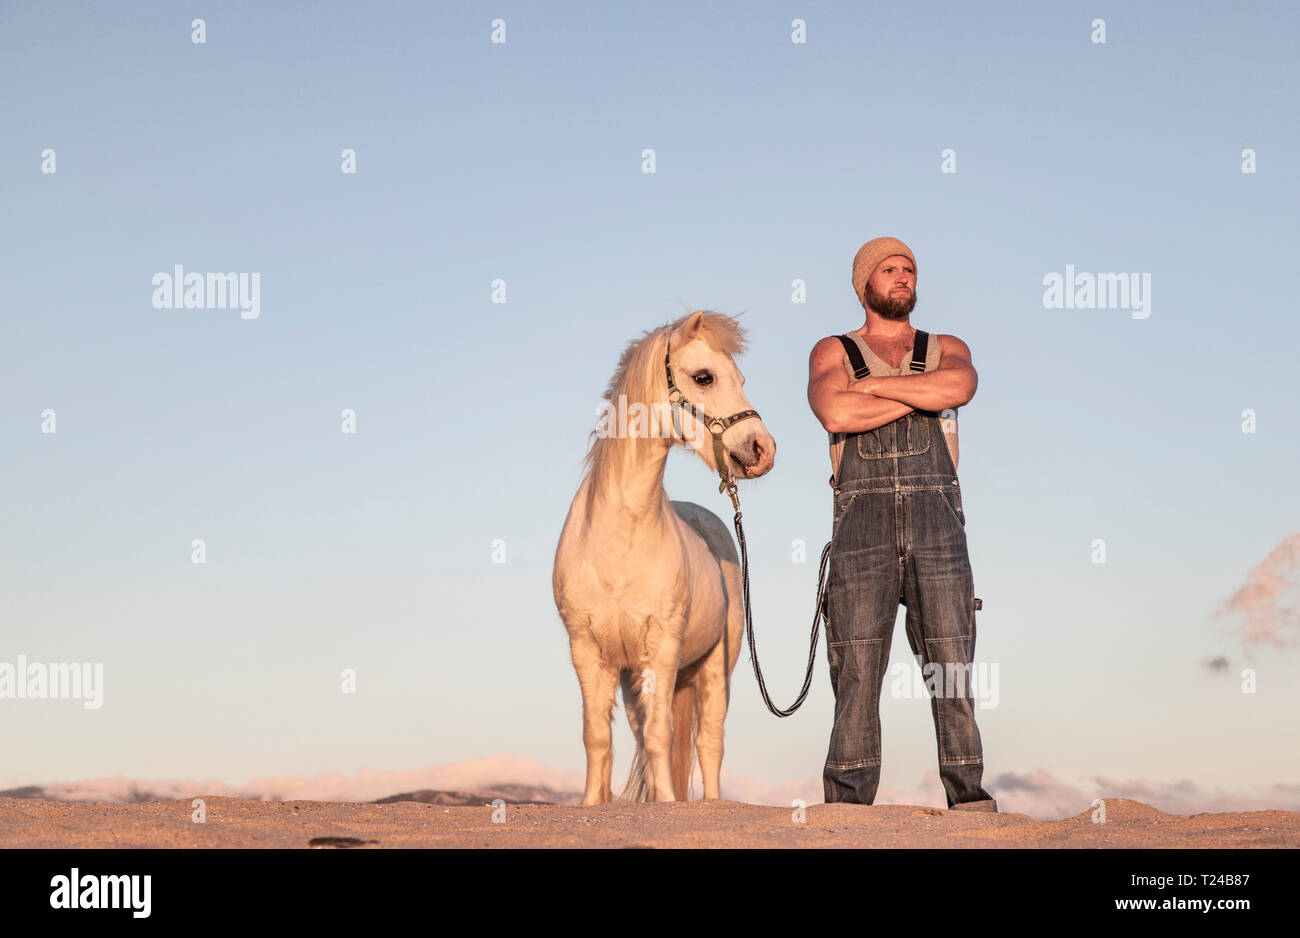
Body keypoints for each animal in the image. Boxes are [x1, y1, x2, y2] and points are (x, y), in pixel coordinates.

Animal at [552, 309, 776, 805]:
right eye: (704, 376)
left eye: (741, 378)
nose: (763, 450)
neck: (621, 536)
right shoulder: (588, 651)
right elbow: (598, 737)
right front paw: (592, 803)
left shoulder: (664, 647)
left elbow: (662, 737)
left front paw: (668, 806)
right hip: (634, 675)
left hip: (715, 668)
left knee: (707, 743)